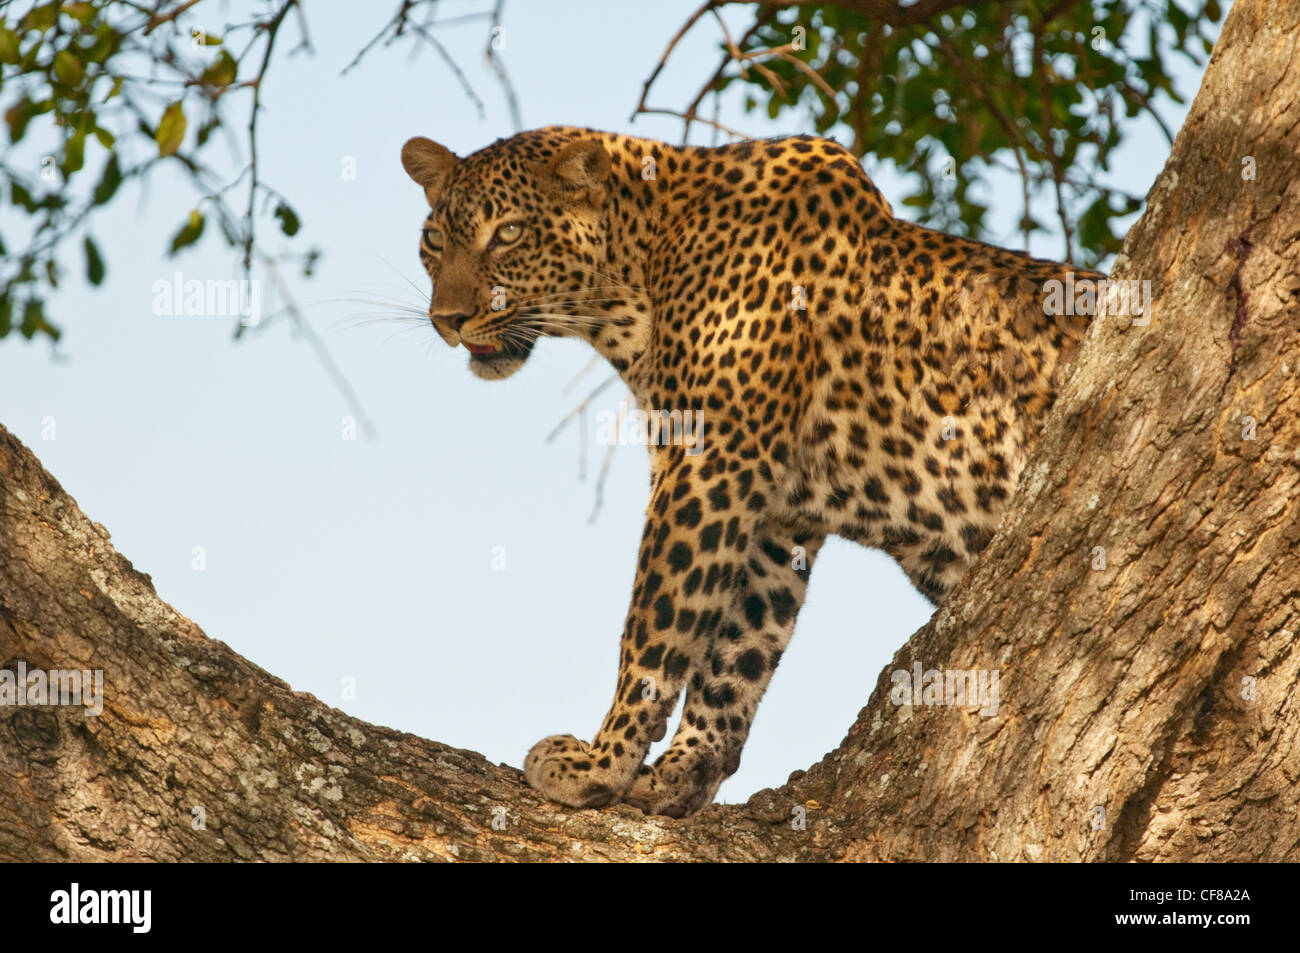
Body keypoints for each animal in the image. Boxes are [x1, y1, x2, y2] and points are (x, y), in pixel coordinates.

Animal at [400, 125, 1102, 818]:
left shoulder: (710, 466)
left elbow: (657, 623)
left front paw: (599, 764)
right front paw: (684, 770)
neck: (637, 275)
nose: (446, 320)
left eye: (509, 233)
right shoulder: (776, 514)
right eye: (433, 241)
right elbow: (739, 644)